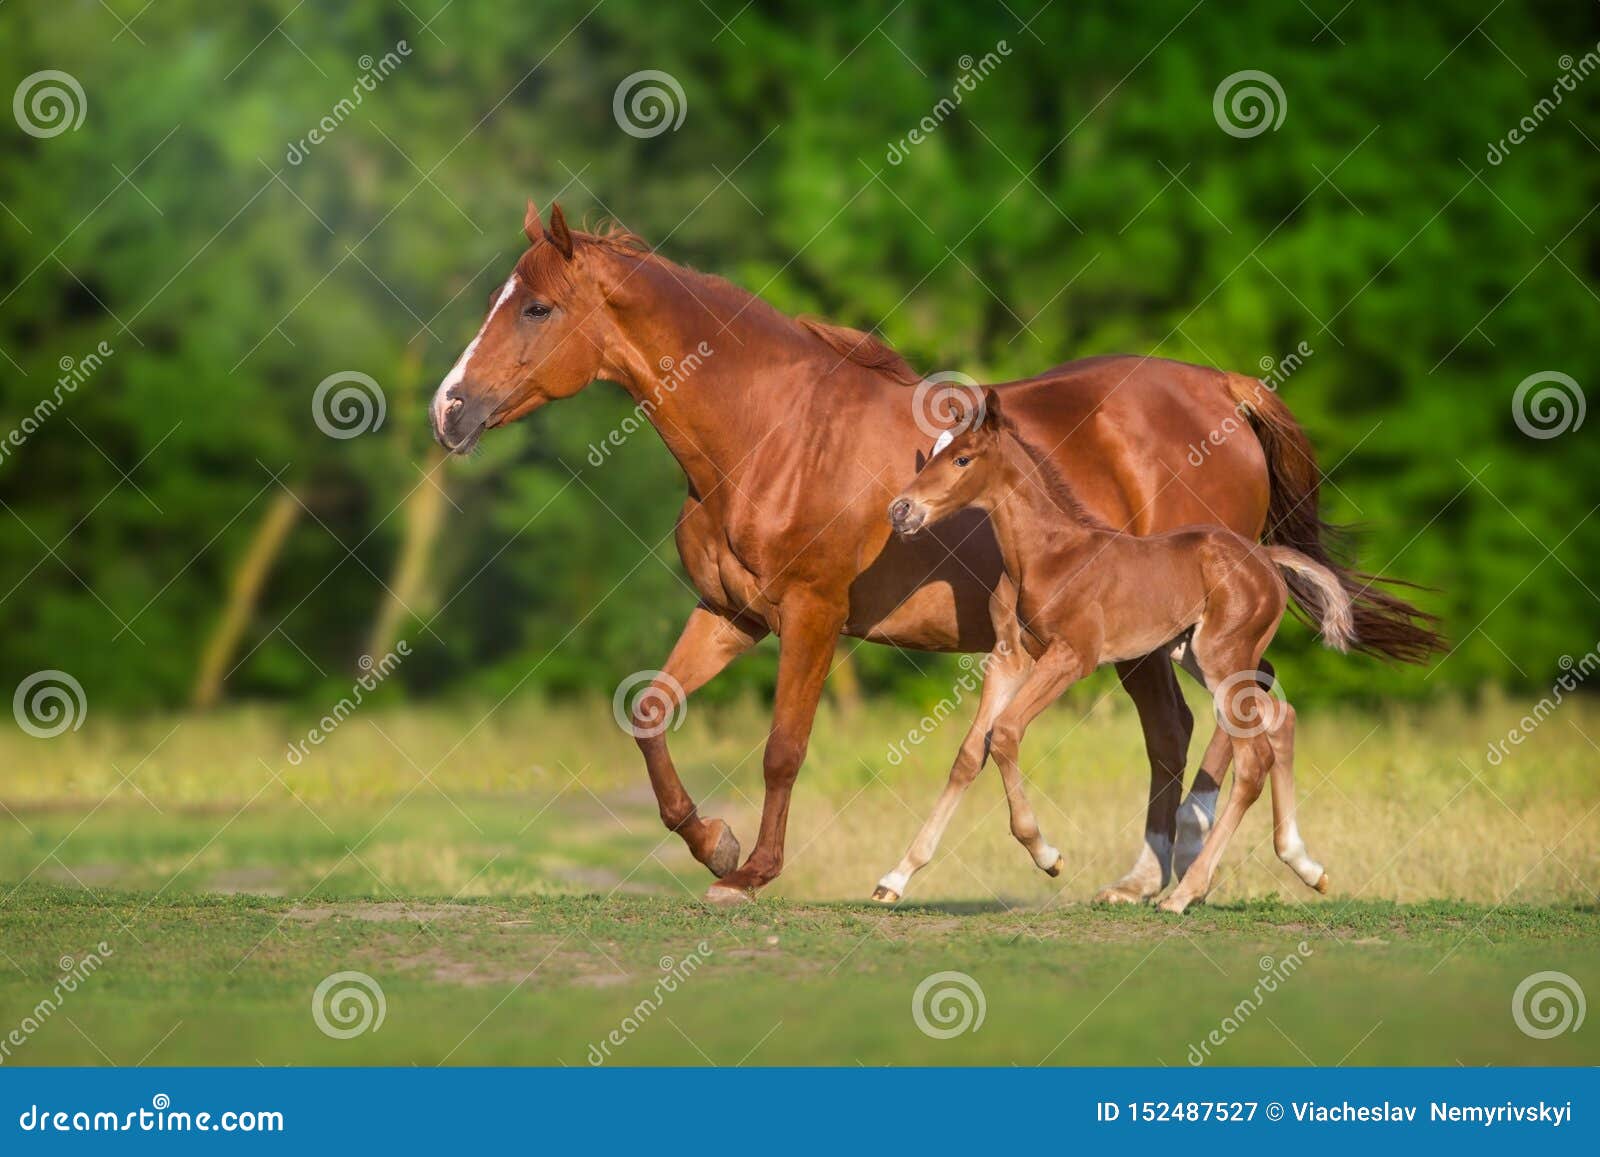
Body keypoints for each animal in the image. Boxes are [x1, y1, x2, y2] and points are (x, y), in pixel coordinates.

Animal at [881, 391, 1351, 911]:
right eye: (934, 454)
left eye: (962, 459)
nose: (901, 510)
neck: (1045, 556)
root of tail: (1266, 558)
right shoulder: (1010, 659)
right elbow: (970, 752)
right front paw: (897, 875)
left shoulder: (1072, 657)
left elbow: (1004, 734)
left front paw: (1047, 855)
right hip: (1193, 655)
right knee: (1280, 717)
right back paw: (1305, 865)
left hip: (1222, 657)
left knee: (1252, 762)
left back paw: (1184, 893)